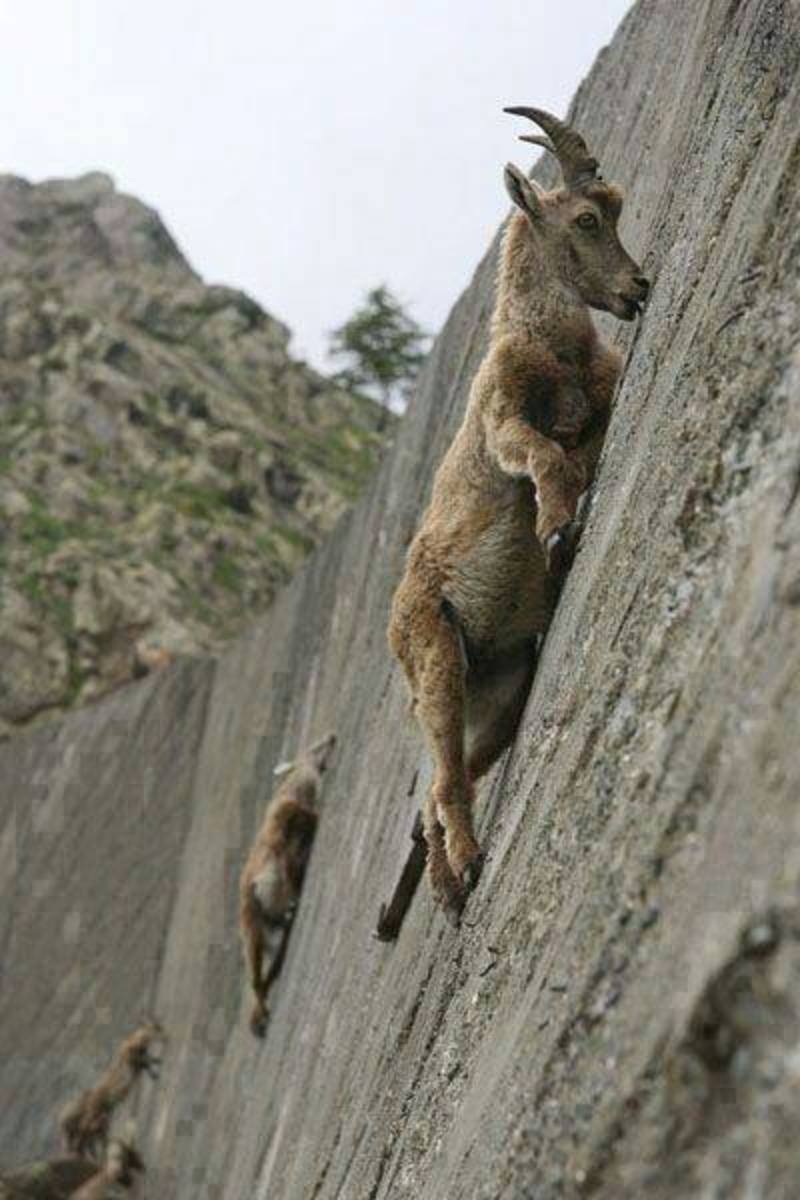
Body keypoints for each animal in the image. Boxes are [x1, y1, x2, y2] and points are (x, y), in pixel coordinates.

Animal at [58, 1020, 165, 1160]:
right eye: (155, 1028)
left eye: (159, 1027)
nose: (166, 1037)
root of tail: (61, 1119)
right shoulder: (94, 1128)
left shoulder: (100, 1130)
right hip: (76, 1135)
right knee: (74, 1150)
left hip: (79, 1136)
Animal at [240, 732, 336, 1037]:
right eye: (315, 746)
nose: (333, 736)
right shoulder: (288, 841)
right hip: (253, 928)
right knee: (255, 976)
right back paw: (260, 1013)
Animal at [388, 107, 649, 922]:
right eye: (588, 218)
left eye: (616, 209)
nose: (639, 287)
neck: (544, 343)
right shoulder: (503, 425)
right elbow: (546, 459)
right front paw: (558, 530)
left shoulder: (598, 400)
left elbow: (581, 447)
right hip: (437, 657)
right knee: (444, 781)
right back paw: (466, 870)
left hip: (501, 686)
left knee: (444, 789)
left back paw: (444, 881)